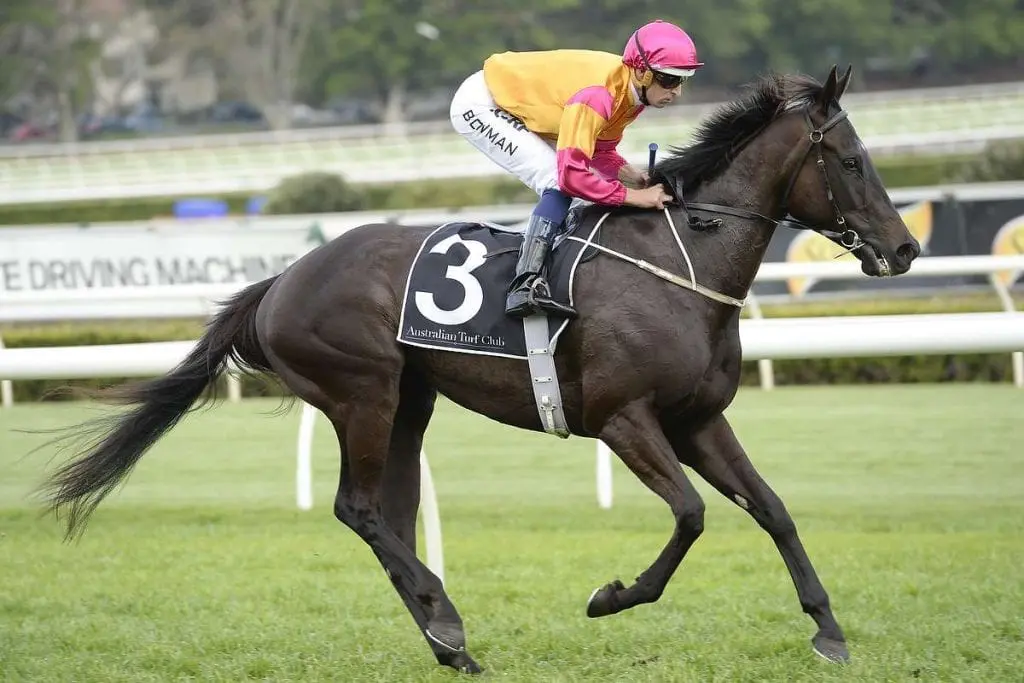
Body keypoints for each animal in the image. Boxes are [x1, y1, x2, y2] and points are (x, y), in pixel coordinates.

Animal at [41, 65, 920, 675]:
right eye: (851, 159)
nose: (907, 247)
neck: (681, 262)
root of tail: (281, 280)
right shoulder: (623, 419)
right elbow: (692, 515)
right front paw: (610, 597)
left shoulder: (698, 418)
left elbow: (773, 509)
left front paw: (828, 630)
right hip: (362, 391)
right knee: (357, 508)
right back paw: (447, 617)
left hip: (409, 400)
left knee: (388, 514)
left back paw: (446, 637)